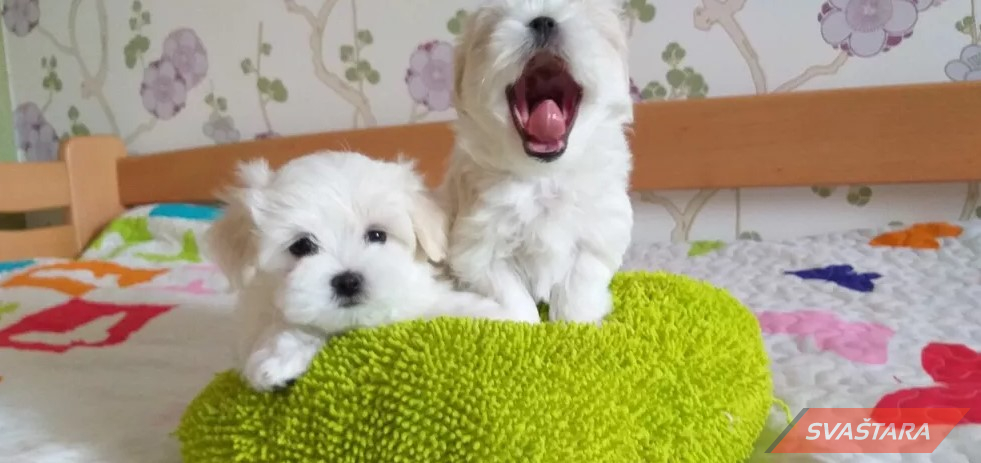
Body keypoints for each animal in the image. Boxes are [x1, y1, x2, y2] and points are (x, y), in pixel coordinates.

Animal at [208, 152, 528, 392]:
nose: (348, 281)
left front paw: (502, 319)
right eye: (302, 246)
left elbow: (451, 307)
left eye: (377, 235)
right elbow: (287, 325)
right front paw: (278, 358)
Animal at [438, 0, 636, 324]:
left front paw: (576, 324)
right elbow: (512, 297)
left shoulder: (599, 231)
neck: (543, 177)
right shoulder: (480, 250)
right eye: (494, 23)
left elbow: (580, 284)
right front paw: (524, 326)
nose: (543, 21)